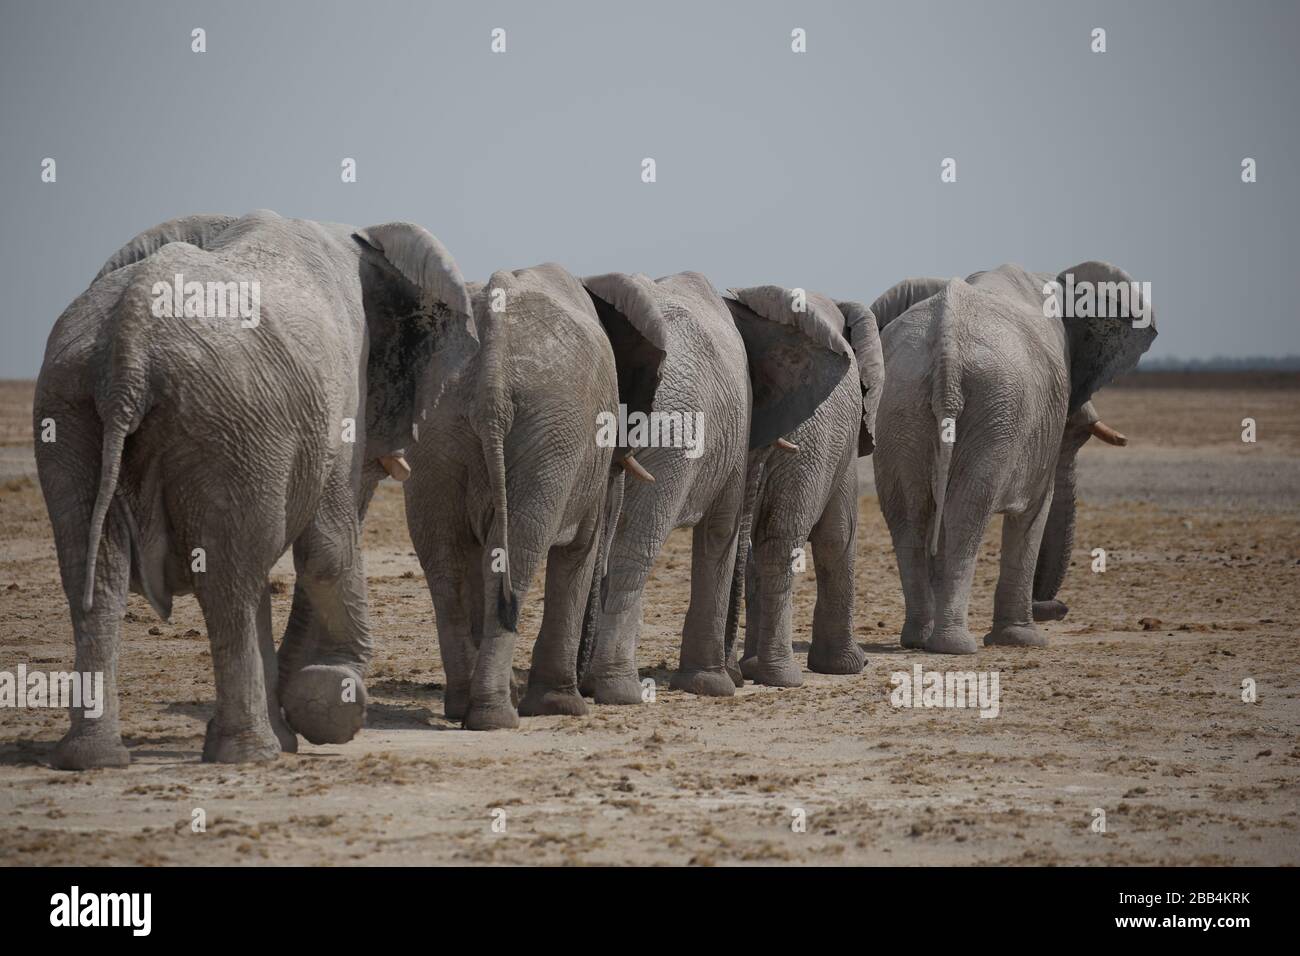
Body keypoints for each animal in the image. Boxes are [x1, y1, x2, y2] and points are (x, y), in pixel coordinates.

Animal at [33, 209, 476, 766]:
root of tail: (128, 347)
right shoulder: (339, 395)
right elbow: (328, 548)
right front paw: (330, 695)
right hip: (228, 416)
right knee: (228, 581)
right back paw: (250, 754)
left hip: (73, 408)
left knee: (99, 577)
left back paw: (94, 759)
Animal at [403, 263, 617, 730]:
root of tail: (493, 371)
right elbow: (579, 552)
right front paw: (562, 706)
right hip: (553, 430)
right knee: (517, 556)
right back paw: (497, 717)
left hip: (439, 423)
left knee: (447, 560)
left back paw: (464, 707)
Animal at [577, 272, 851, 704]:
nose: (739, 675)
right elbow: (721, 532)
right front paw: (714, 685)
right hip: (671, 434)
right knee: (636, 546)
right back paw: (618, 689)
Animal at [720, 286, 884, 688]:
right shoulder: (839, 448)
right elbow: (838, 535)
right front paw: (849, 666)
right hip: (812, 439)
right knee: (782, 542)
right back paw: (781, 677)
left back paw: (748, 671)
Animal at [869, 262, 1155, 654]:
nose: (1056, 608)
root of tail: (946, 351)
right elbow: (1035, 511)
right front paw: (1023, 639)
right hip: (997, 407)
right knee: (966, 514)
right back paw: (956, 646)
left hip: (900, 402)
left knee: (910, 515)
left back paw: (918, 639)